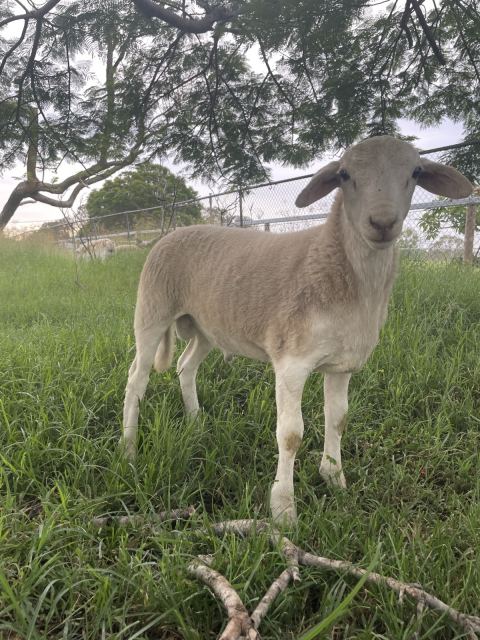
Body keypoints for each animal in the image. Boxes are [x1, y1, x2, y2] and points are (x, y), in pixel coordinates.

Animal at [121, 136, 472, 523]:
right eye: (344, 174)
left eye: (417, 171)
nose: (382, 222)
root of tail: (171, 233)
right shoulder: (291, 361)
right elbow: (290, 434)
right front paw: (283, 509)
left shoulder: (342, 364)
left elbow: (338, 419)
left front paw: (334, 478)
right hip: (152, 308)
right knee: (136, 378)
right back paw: (129, 448)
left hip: (207, 327)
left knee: (186, 366)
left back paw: (196, 423)